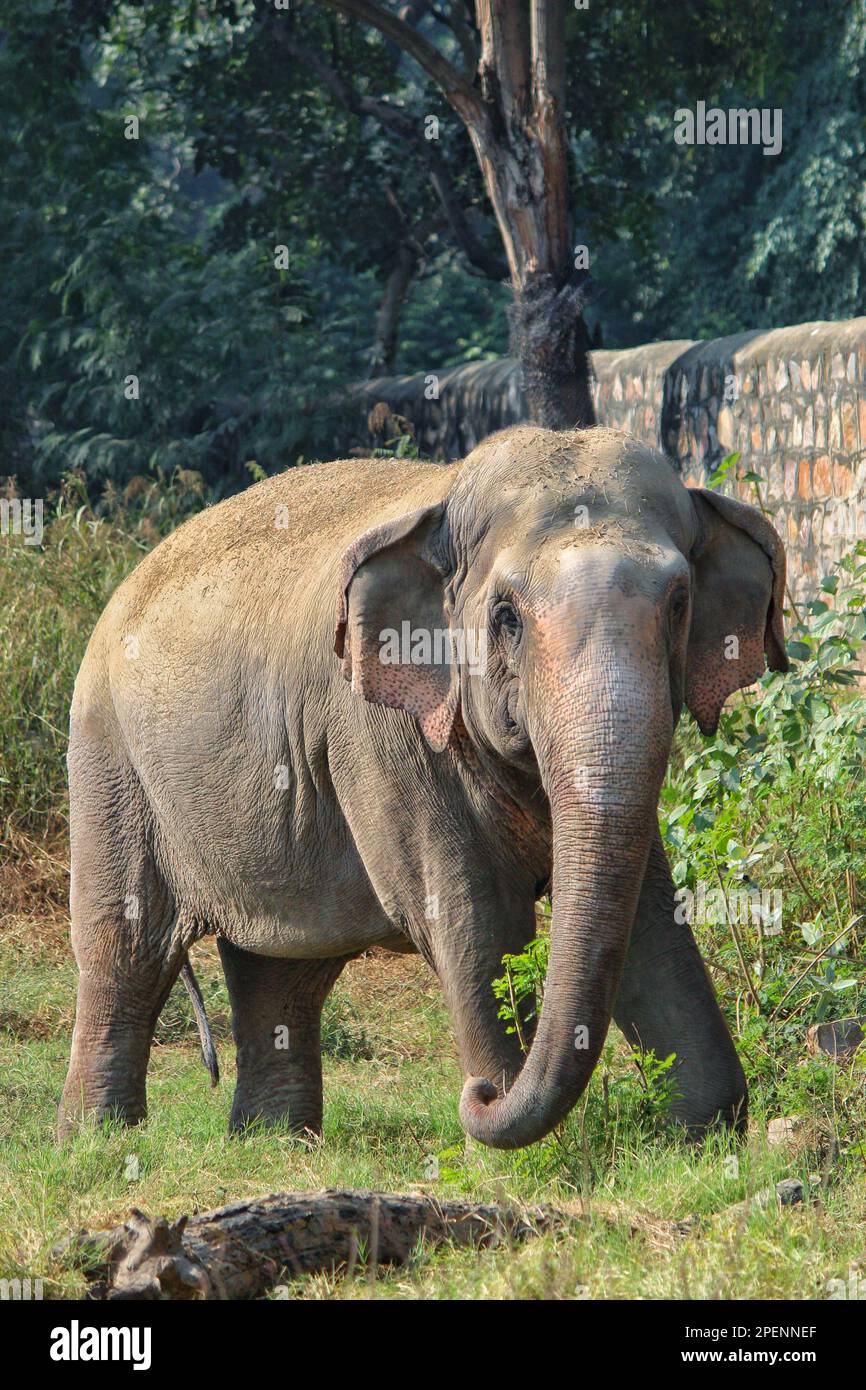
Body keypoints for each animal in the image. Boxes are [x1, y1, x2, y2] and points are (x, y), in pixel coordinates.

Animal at [58, 425, 788, 1149]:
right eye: (506, 617)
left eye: (679, 603)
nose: (480, 1093)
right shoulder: (379, 733)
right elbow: (474, 917)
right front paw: (509, 1150)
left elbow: (646, 911)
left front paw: (703, 1135)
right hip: (109, 756)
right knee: (125, 946)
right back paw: (98, 1141)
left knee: (282, 964)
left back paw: (272, 1141)